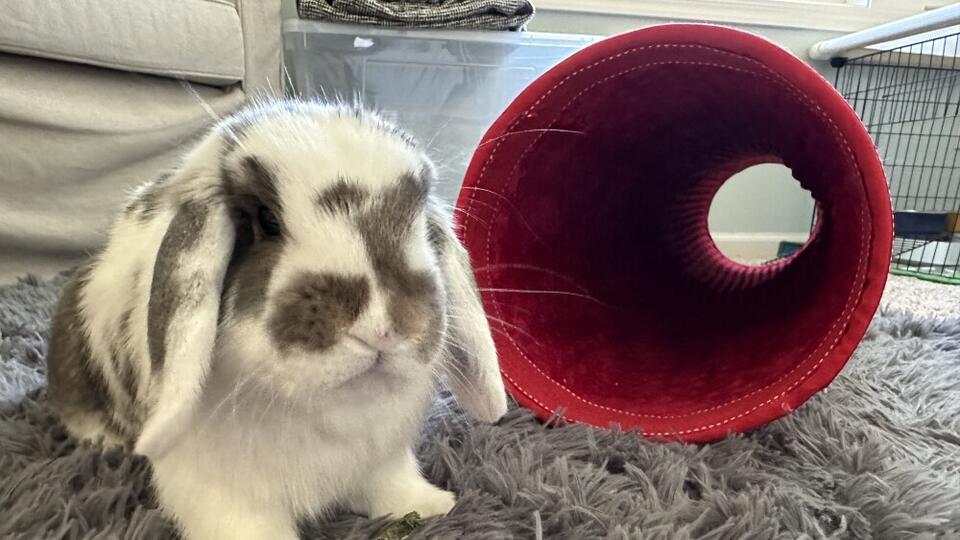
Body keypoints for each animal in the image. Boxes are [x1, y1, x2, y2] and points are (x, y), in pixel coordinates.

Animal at [45, 99, 508, 540]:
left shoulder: (383, 458)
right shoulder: (220, 494)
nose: (382, 327)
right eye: (266, 220)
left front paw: (434, 506)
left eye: (416, 214)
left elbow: (391, 487)